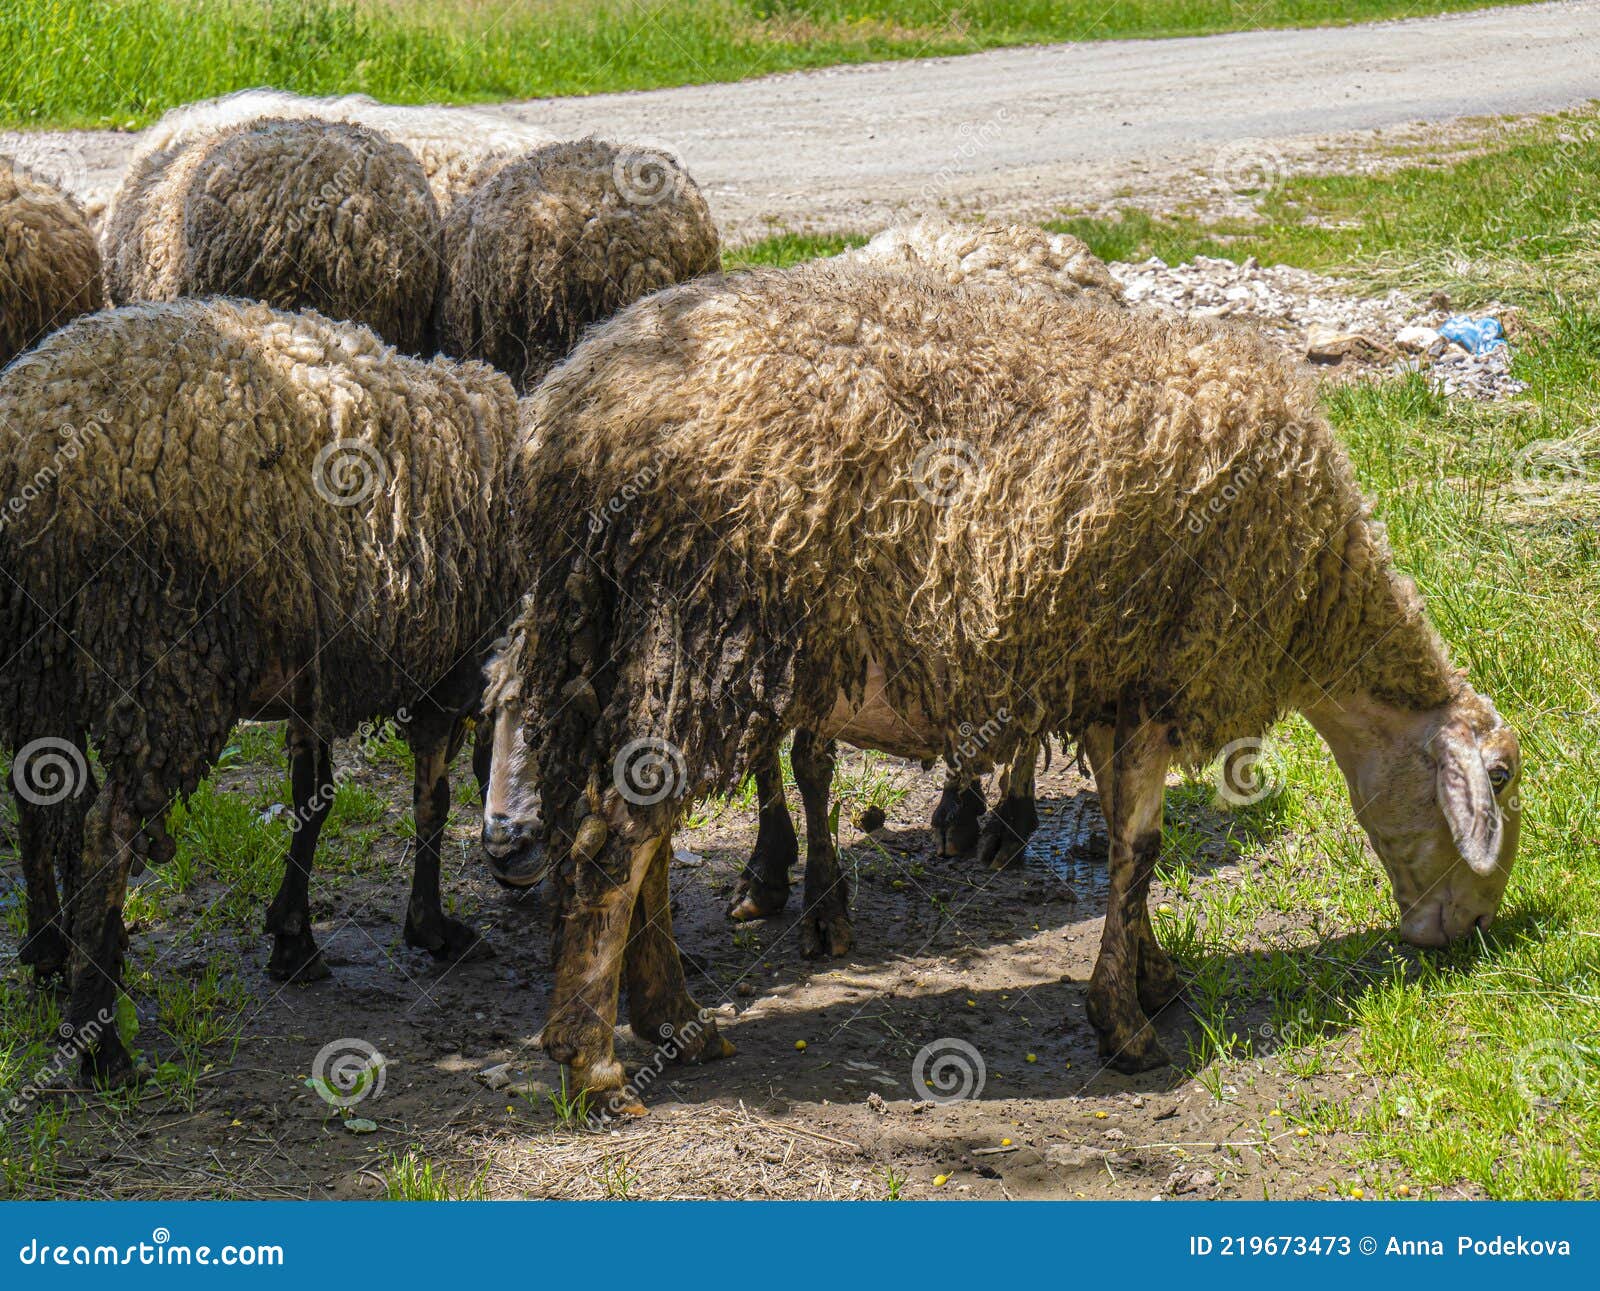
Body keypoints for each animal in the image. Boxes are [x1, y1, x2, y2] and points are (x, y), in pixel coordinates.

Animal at [0, 298, 522, 1083]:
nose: (521, 880)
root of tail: (28, 439)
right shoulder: (442, 673)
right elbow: (430, 802)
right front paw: (432, 929)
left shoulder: (315, 675)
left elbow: (314, 800)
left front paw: (292, 937)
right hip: (162, 655)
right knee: (105, 832)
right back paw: (102, 1043)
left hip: (42, 660)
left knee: (37, 801)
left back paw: (51, 952)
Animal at [479, 260, 1522, 1108]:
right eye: (1502, 778)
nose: (1469, 937)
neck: (1316, 592)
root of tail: (570, 416)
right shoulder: (1162, 680)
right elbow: (1140, 849)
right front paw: (1127, 1028)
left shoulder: (1108, 685)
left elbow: (1128, 848)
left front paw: (1152, 976)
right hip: (700, 631)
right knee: (616, 842)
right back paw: (594, 1063)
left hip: (631, 644)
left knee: (641, 844)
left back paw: (673, 1022)